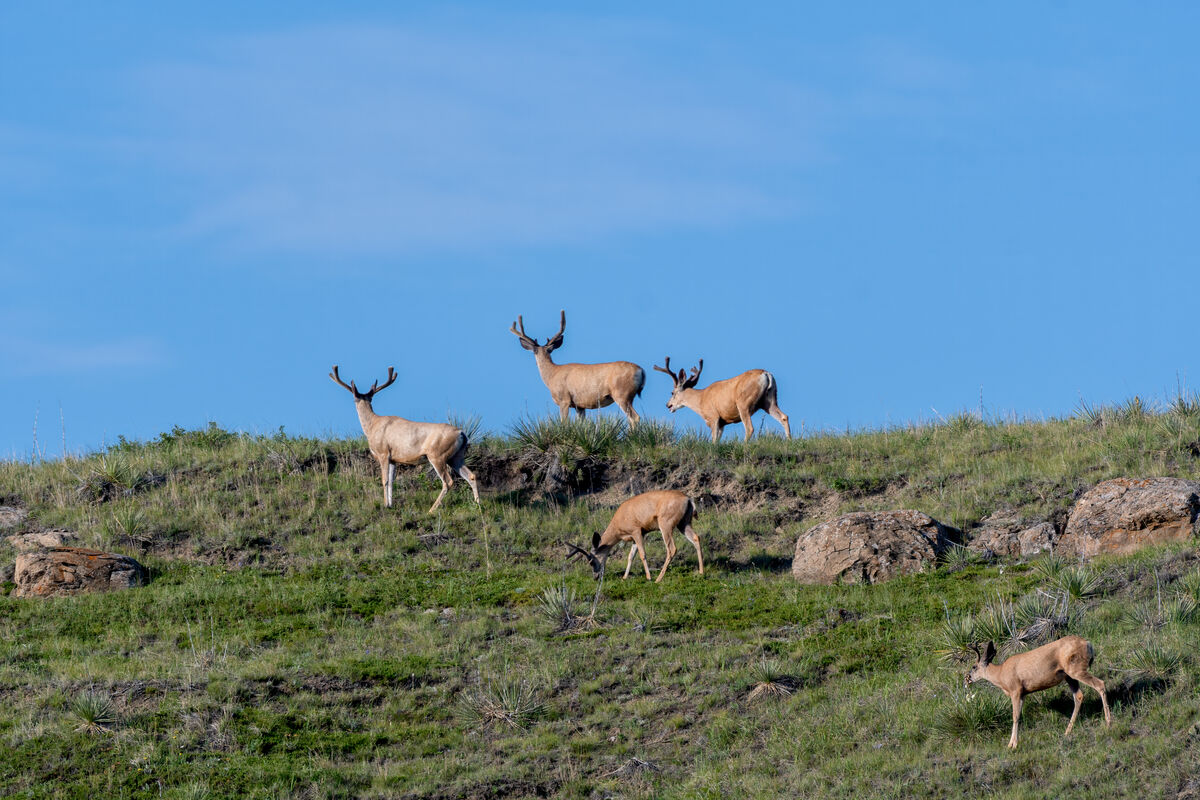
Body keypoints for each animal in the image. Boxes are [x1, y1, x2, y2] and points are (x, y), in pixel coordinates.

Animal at [329, 365, 479, 513]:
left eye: (355, 399)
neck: (372, 426)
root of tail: (461, 433)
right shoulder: (393, 459)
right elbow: (391, 481)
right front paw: (390, 505)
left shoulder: (383, 452)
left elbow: (384, 480)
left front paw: (385, 505)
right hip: (456, 456)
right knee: (471, 475)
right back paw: (477, 505)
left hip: (437, 455)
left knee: (448, 481)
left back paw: (431, 510)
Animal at [509, 310, 646, 425]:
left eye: (535, 351)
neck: (552, 375)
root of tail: (641, 370)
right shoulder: (579, 405)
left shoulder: (564, 399)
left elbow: (564, 423)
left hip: (621, 393)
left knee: (635, 417)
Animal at [564, 490, 704, 584]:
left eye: (591, 561)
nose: (595, 577)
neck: (618, 526)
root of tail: (688, 499)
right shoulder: (636, 536)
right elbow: (630, 556)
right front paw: (624, 577)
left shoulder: (636, 530)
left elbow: (642, 554)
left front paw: (648, 577)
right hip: (684, 522)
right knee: (696, 538)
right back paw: (701, 572)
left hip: (666, 523)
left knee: (672, 548)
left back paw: (658, 579)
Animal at [653, 356, 790, 443]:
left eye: (672, 392)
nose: (668, 405)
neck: (701, 400)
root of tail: (766, 374)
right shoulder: (722, 422)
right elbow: (718, 440)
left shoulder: (713, 417)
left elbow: (713, 440)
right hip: (768, 401)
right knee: (784, 416)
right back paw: (789, 441)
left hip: (743, 403)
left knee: (749, 428)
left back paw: (743, 446)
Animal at [964, 636, 1112, 749]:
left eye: (974, 666)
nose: (967, 679)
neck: (1001, 674)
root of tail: (1088, 643)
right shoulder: (1023, 693)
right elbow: (1019, 716)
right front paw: (1014, 743)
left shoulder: (1015, 690)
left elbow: (1015, 716)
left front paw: (1012, 745)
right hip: (1069, 675)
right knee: (1079, 696)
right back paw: (1067, 731)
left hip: (1076, 669)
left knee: (1100, 684)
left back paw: (1108, 722)